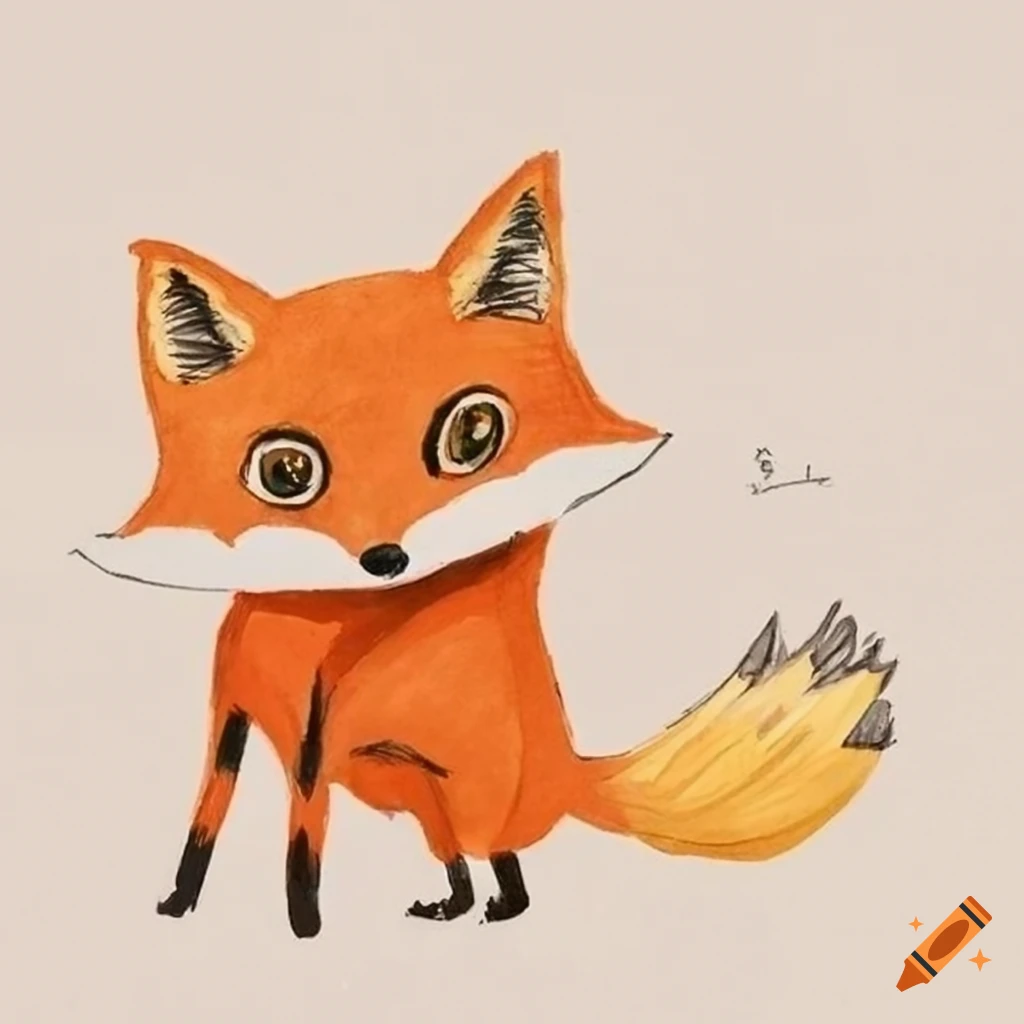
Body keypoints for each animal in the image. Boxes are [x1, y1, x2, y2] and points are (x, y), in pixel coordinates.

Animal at [74, 151, 896, 936]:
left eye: (473, 432)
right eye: (286, 472)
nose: (386, 559)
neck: (313, 627)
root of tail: (563, 773)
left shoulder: (318, 746)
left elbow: (300, 854)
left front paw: (302, 931)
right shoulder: (234, 721)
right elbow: (203, 829)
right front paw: (179, 905)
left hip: (410, 770)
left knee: (500, 866)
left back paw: (486, 908)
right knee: (466, 862)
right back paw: (455, 903)